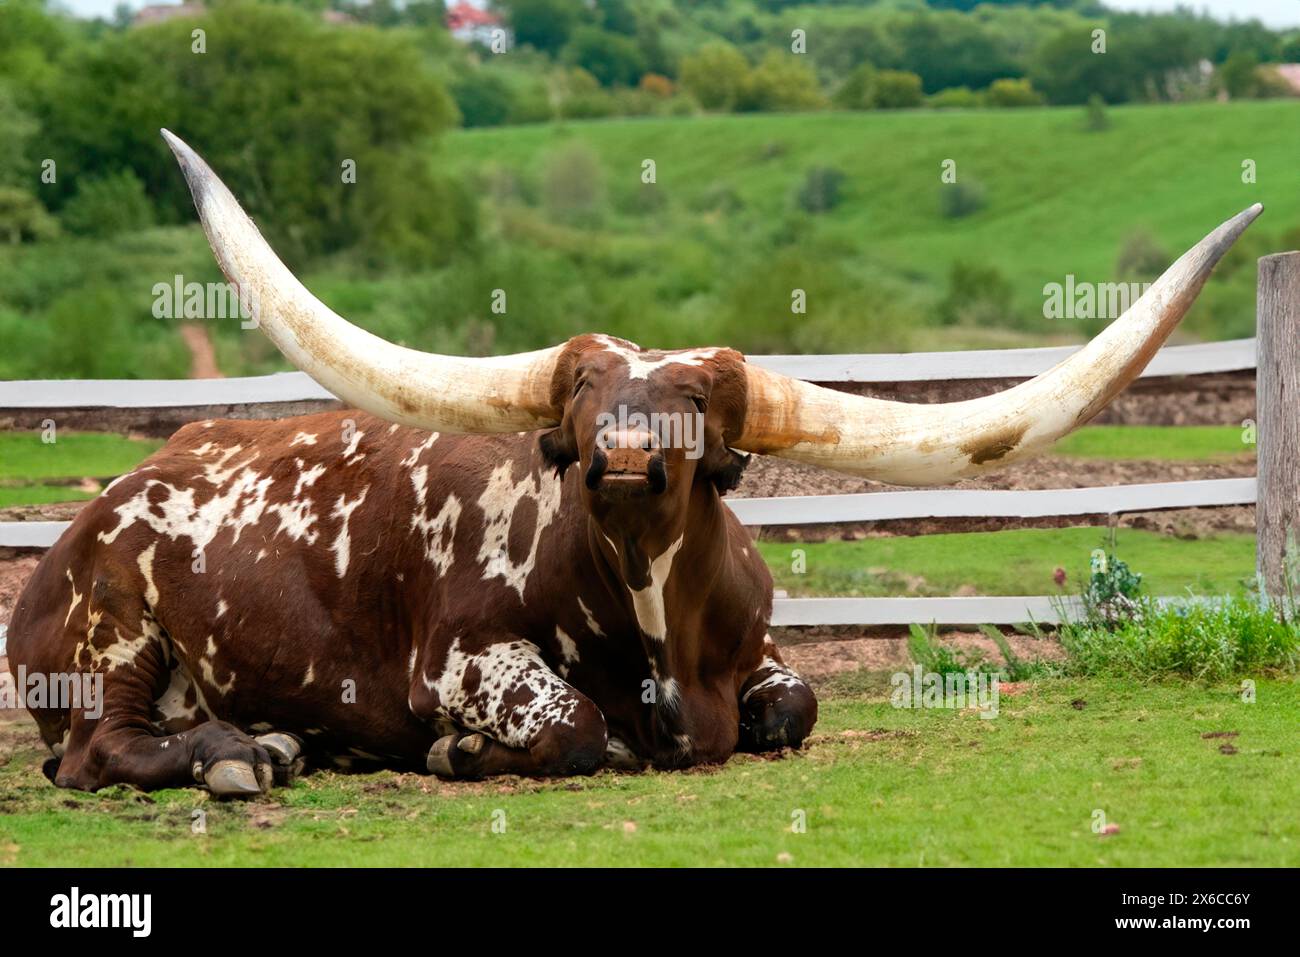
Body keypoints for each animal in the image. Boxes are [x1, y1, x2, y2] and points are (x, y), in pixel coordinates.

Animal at [5, 131, 1260, 795]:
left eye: (694, 406)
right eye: (583, 402)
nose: (616, 462)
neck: (658, 631)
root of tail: (96, 510)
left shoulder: (759, 659)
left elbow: (793, 705)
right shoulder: (458, 659)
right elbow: (567, 727)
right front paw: (465, 751)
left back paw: (271, 742)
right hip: (111, 636)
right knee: (100, 748)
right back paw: (235, 753)